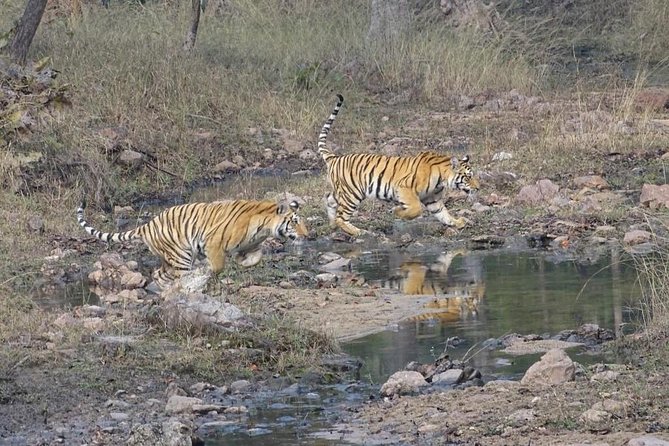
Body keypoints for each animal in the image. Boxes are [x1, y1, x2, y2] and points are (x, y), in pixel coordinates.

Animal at [77, 198, 308, 285]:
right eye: (295, 222)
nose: (307, 235)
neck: (264, 226)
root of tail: (148, 224)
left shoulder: (252, 245)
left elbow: (256, 257)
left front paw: (243, 263)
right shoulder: (213, 241)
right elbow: (217, 265)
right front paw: (208, 272)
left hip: (169, 259)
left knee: (158, 273)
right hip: (181, 254)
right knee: (179, 274)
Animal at [318, 94, 480, 237]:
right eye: (468, 177)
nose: (478, 188)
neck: (442, 179)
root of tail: (334, 157)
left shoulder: (432, 199)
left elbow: (444, 214)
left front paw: (457, 222)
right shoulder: (404, 187)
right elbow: (416, 209)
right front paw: (396, 211)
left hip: (342, 191)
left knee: (329, 199)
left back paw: (332, 225)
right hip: (352, 193)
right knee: (341, 217)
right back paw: (360, 232)